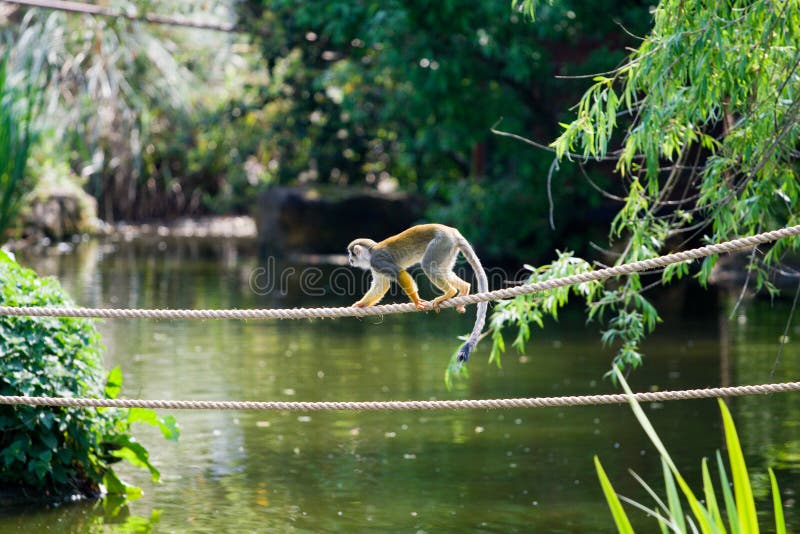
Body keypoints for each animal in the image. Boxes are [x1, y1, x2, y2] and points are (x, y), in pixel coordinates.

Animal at [347, 223, 488, 362]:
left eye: (351, 254)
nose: (349, 260)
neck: (371, 253)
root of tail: (453, 232)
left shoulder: (377, 261)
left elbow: (399, 273)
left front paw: (416, 301)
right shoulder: (375, 266)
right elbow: (381, 285)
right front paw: (360, 305)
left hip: (441, 243)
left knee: (428, 265)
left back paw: (450, 292)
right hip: (448, 248)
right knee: (443, 270)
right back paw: (464, 288)